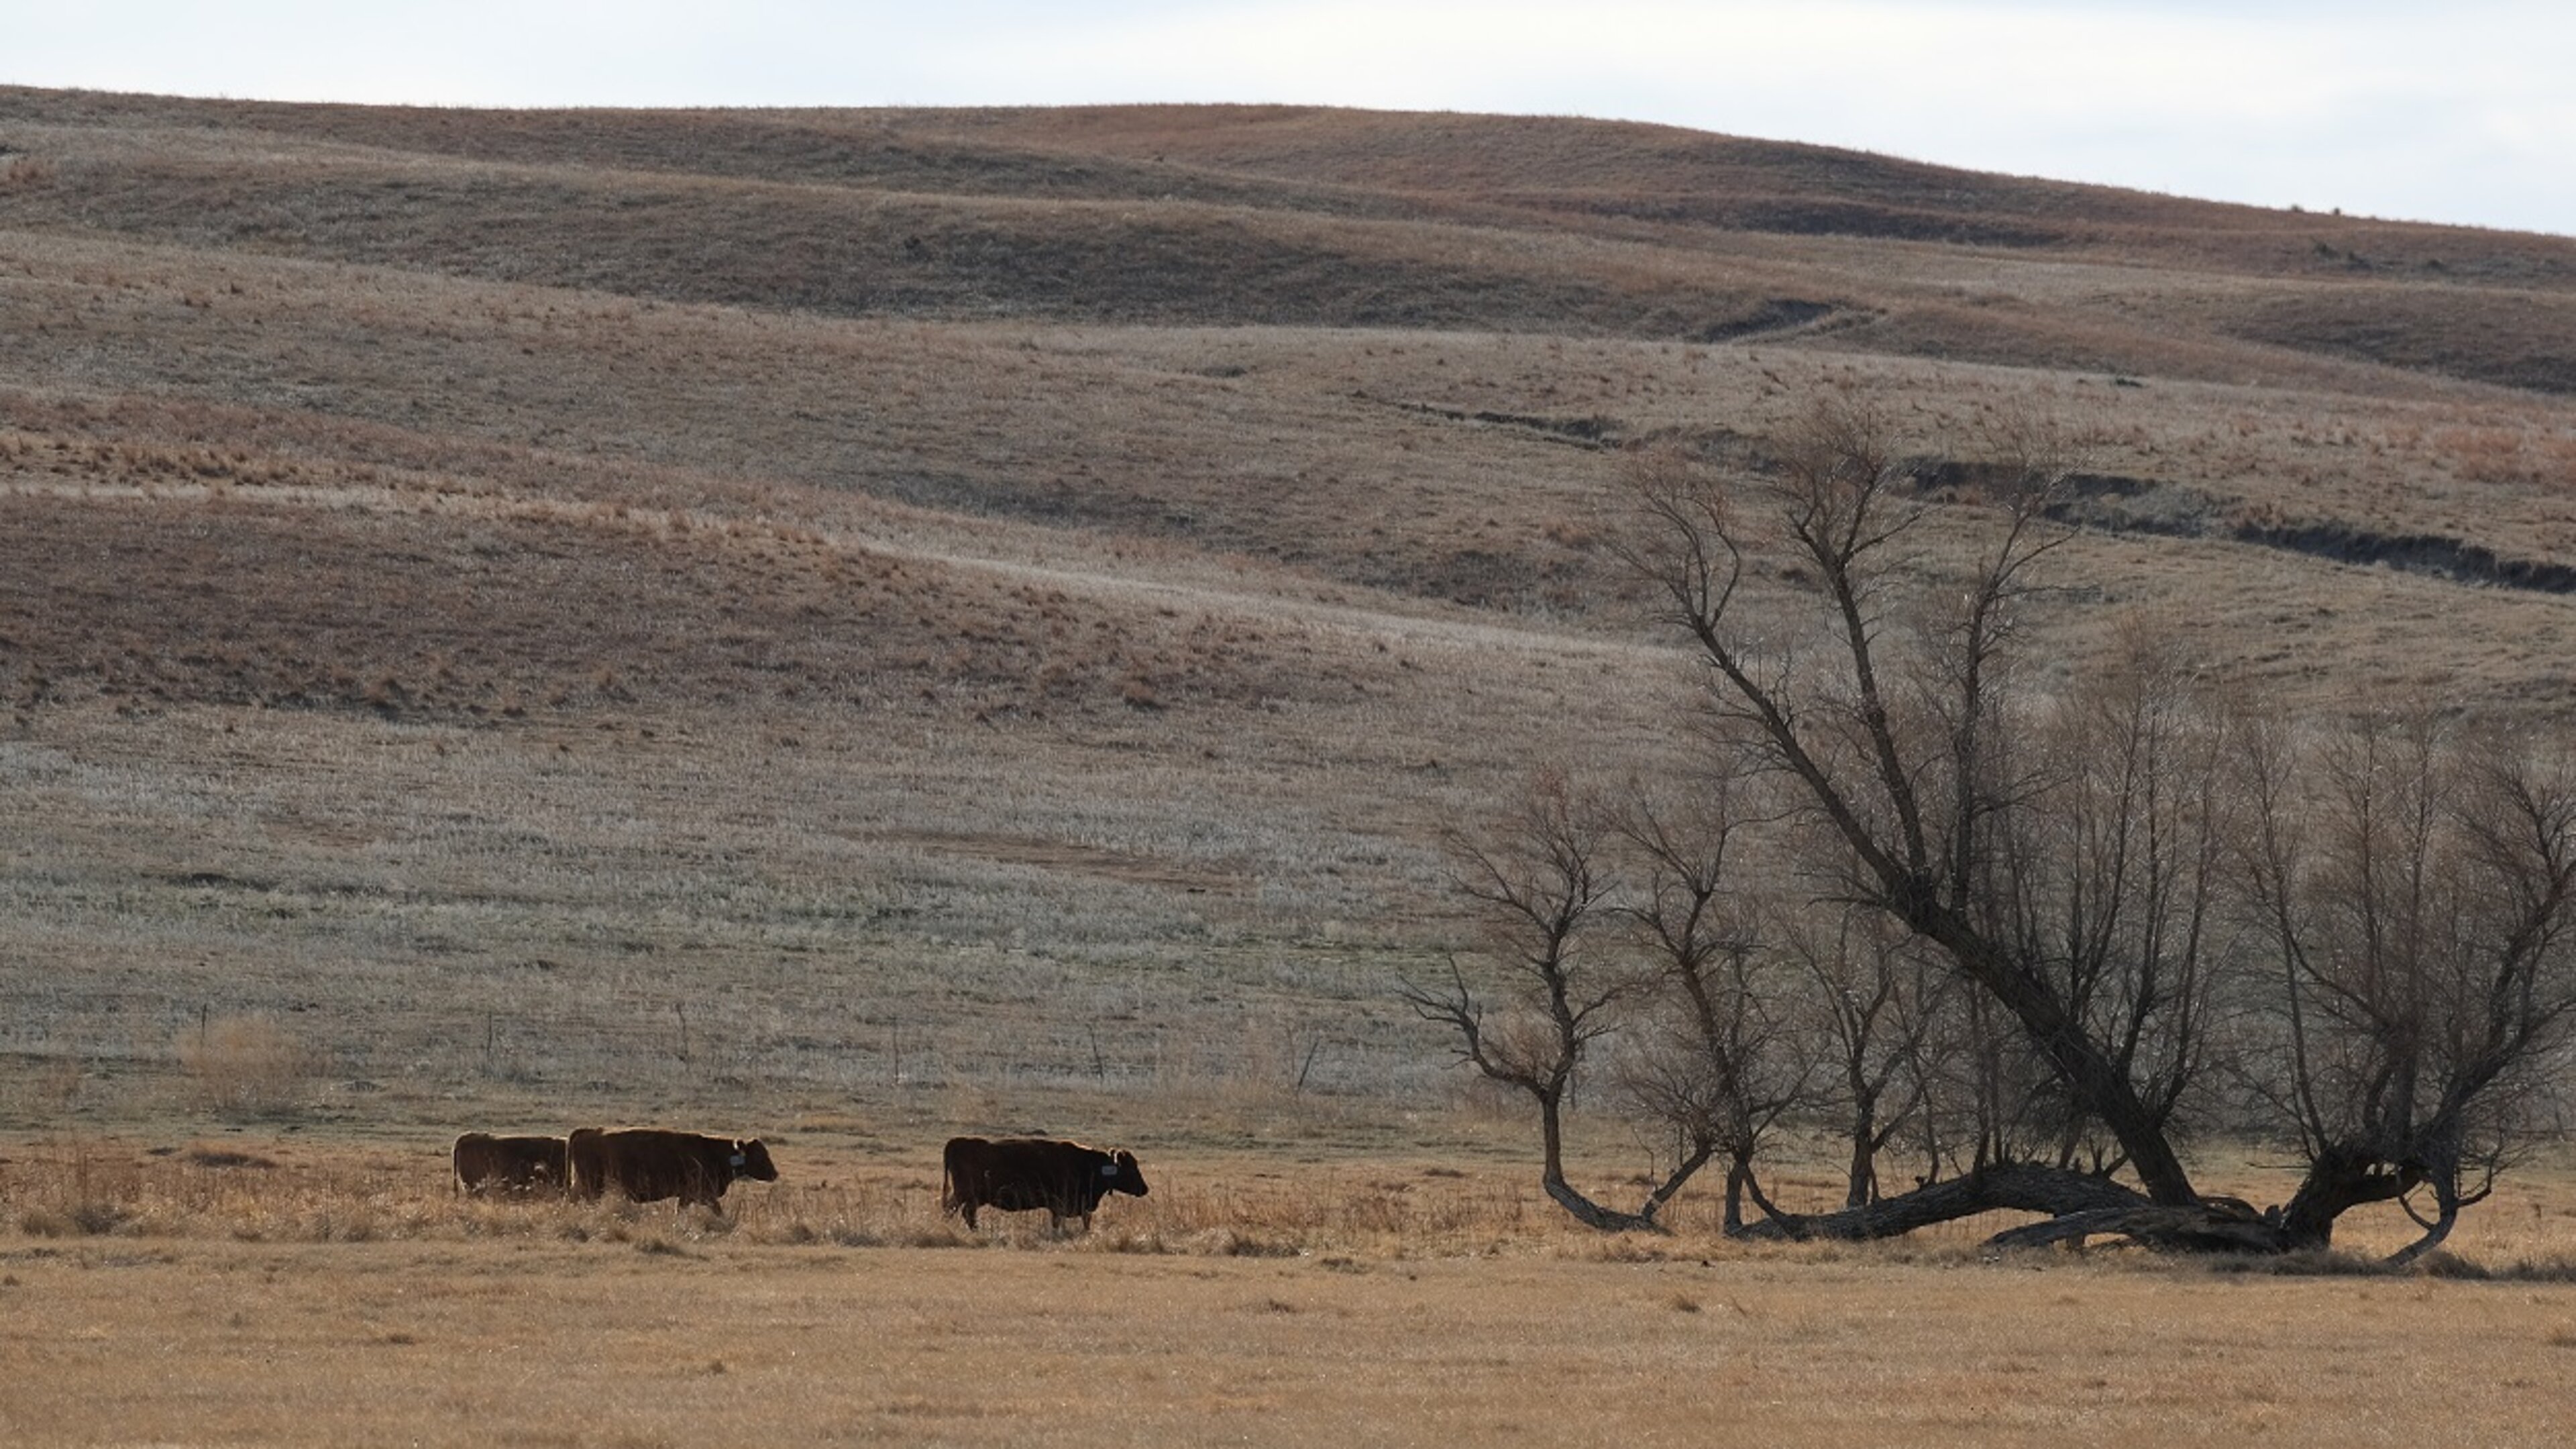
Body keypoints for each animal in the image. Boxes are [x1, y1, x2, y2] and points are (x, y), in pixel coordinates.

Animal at [566, 1127, 779, 1211]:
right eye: (759, 1155)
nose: (774, 1174)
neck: (711, 1152)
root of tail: (591, 1131)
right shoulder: (698, 1194)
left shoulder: (691, 1197)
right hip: (594, 1186)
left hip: (584, 1184)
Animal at [941, 1136, 1149, 1233]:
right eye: (1130, 1168)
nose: (1145, 1189)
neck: (1088, 1165)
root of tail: (956, 1142)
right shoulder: (1059, 1205)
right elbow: (1060, 1223)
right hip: (968, 1195)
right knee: (962, 1212)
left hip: (968, 1197)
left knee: (958, 1211)